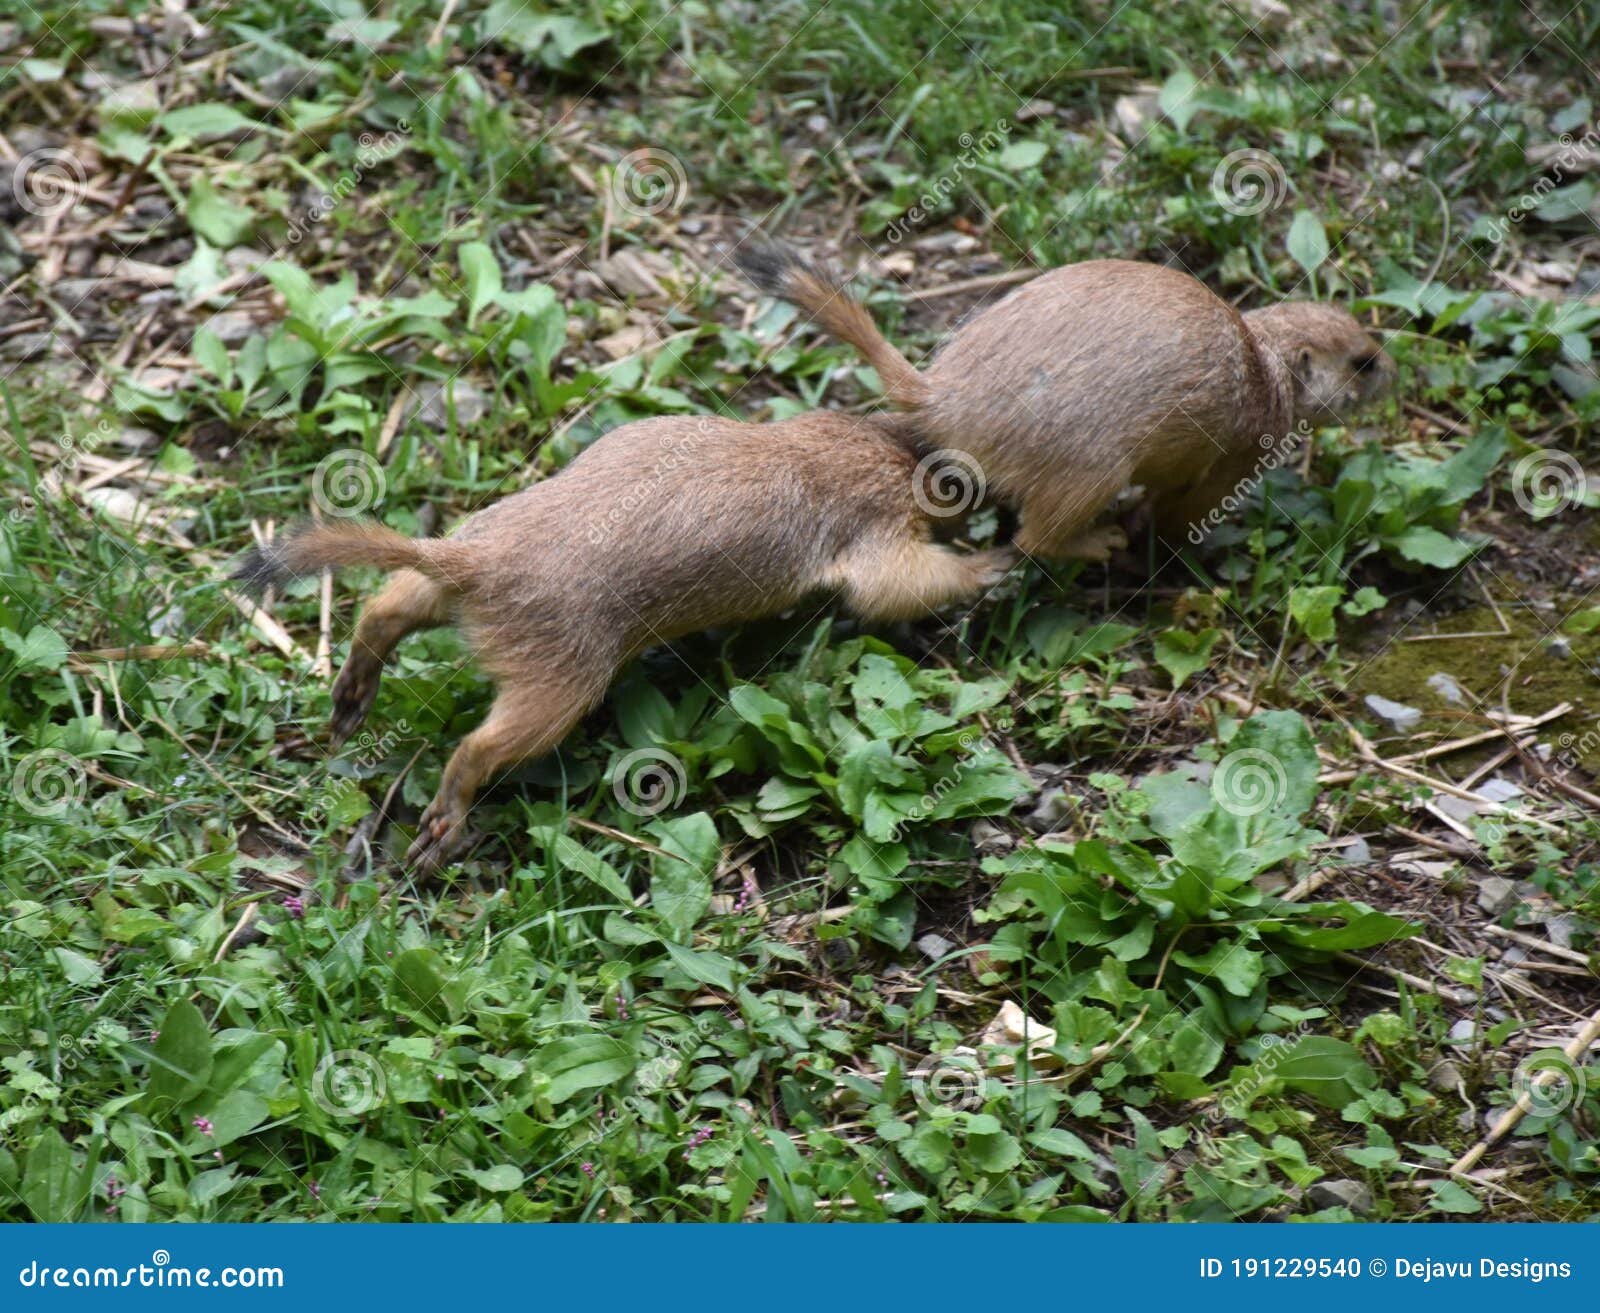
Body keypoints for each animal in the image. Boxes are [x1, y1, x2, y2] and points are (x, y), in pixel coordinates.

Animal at [233, 410, 1013, 873]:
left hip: (451, 579)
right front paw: (993, 563)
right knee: (479, 746)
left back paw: (350, 698)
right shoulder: (871, 533)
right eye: (954, 482)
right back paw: (441, 820)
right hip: (562, 677)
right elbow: (895, 584)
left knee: (386, 608)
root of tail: (479, 560)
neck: (832, 447)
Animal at [737, 245, 1395, 559]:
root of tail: (940, 393)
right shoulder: (1237, 456)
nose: (1395, 368)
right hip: (1092, 471)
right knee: (1032, 540)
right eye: (1361, 361)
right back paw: (1097, 543)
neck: (1264, 358)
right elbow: (1186, 508)